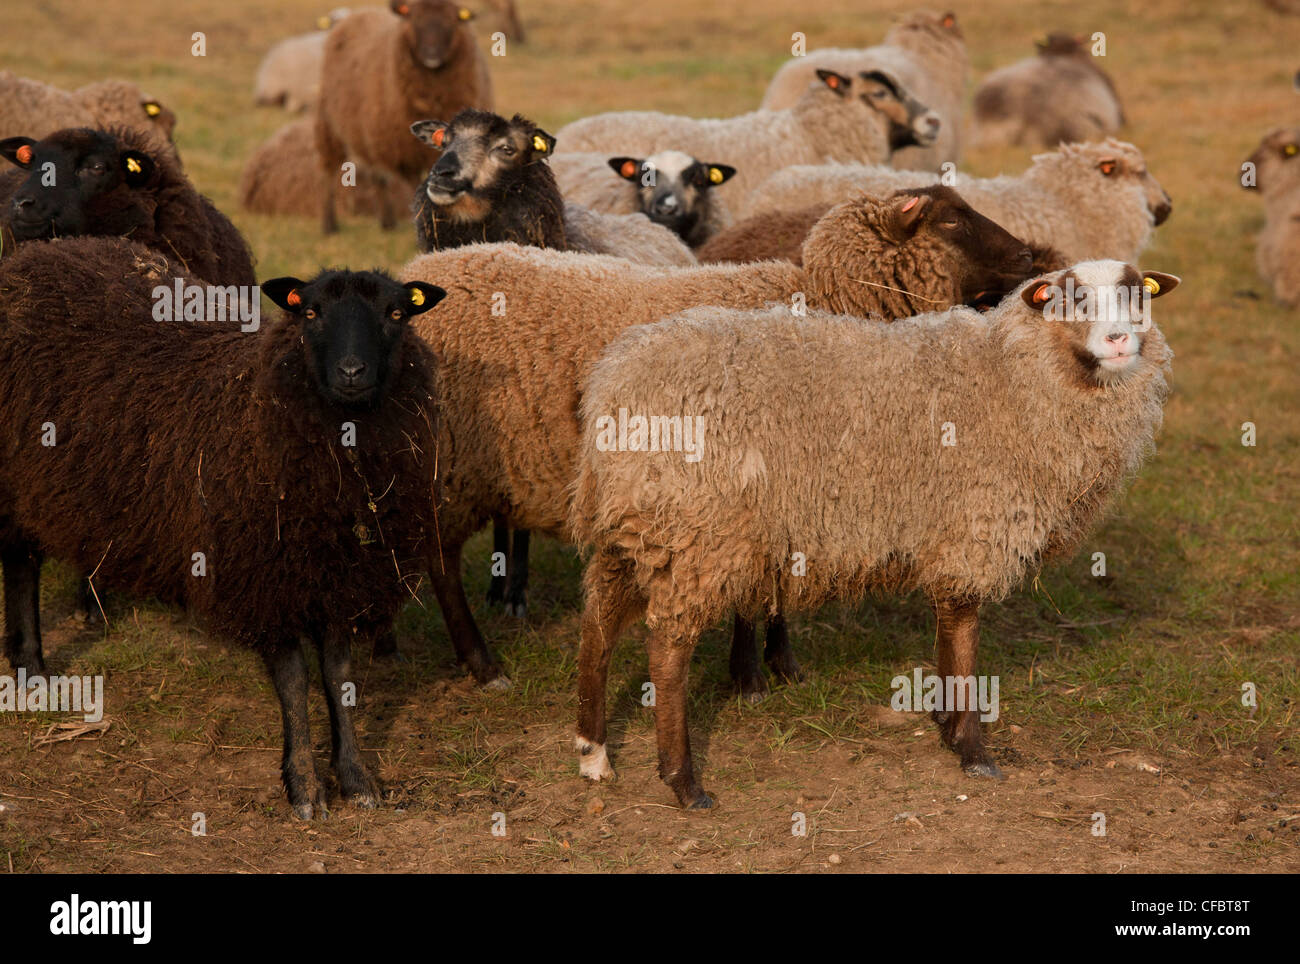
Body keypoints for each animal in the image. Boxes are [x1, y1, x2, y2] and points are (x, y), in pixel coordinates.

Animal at [0, 236, 449, 818]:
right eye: (310, 312)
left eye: (396, 314)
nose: (352, 371)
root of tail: (36, 254)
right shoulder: (265, 575)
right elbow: (295, 683)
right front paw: (304, 786)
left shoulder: (338, 574)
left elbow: (339, 675)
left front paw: (355, 777)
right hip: (14, 484)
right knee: (21, 566)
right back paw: (31, 668)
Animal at [316, 0, 494, 233]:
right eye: (415, 19)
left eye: (451, 20)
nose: (431, 54)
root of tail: (356, 14)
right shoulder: (408, 154)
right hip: (329, 125)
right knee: (328, 173)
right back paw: (329, 224)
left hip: (369, 133)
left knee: (377, 176)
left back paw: (387, 222)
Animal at [399, 188, 1034, 698]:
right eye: (950, 221)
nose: (1030, 256)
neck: (820, 303)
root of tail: (419, 270)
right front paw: (749, 677)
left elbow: (776, 582)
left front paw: (782, 665)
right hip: (449, 460)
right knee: (440, 561)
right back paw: (482, 663)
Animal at [568, 260, 1180, 808]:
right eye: (1070, 298)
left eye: (1138, 295)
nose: (1120, 340)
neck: (1011, 376)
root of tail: (614, 382)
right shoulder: (972, 529)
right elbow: (963, 634)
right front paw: (972, 748)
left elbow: (946, 631)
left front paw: (945, 721)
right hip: (699, 529)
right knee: (667, 649)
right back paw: (684, 783)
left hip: (637, 525)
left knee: (598, 626)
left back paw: (594, 752)